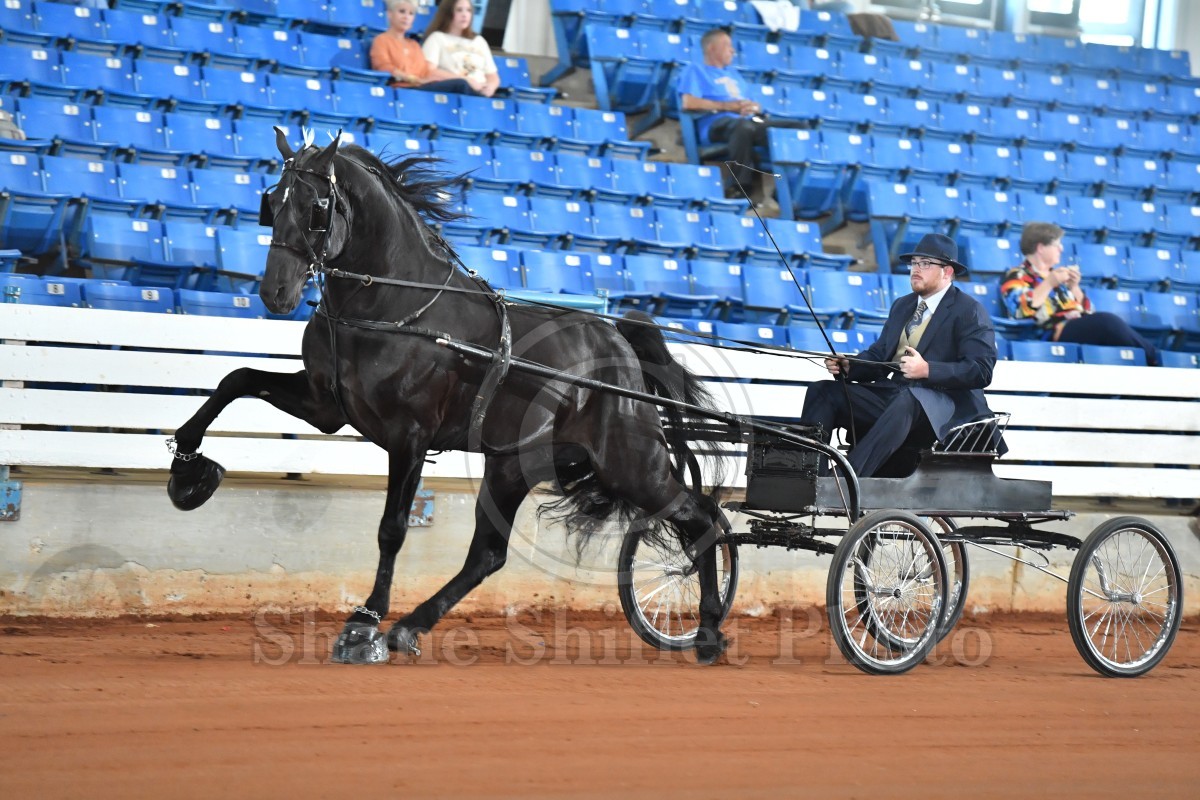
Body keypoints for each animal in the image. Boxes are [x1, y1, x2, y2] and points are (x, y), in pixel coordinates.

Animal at [166, 129, 732, 664]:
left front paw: (363, 625)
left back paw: (707, 632)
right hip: (512, 464)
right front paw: (188, 469)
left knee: (701, 519)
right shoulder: (326, 406)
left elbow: (392, 529)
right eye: (272, 201)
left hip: (628, 463)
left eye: (316, 207)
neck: (393, 307)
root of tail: (618, 339)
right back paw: (411, 627)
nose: (274, 293)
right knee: (489, 554)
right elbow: (236, 378)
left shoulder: (409, 435)